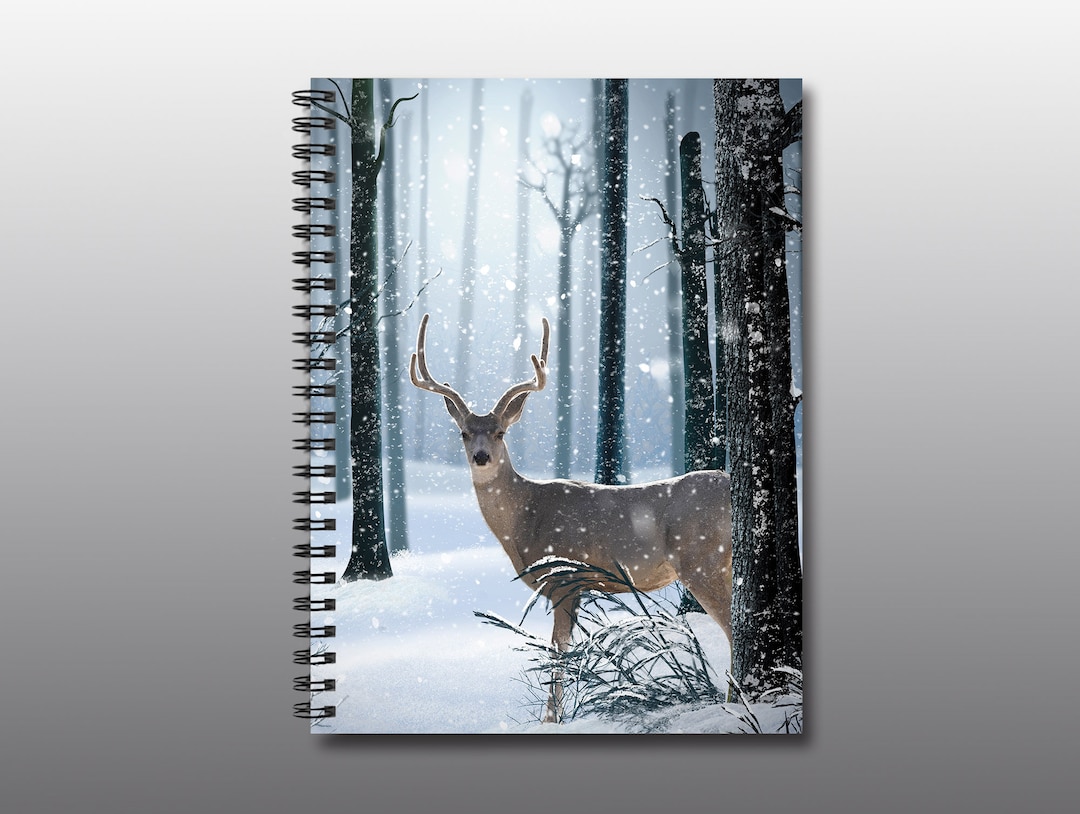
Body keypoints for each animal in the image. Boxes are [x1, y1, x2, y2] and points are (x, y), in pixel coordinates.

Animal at [409, 312, 733, 723]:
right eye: (464, 433)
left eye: (500, 432)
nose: (481, 457)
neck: (526, 517)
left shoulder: (565, 578)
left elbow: (557, 653)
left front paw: (551, 719)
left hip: (701, 560)